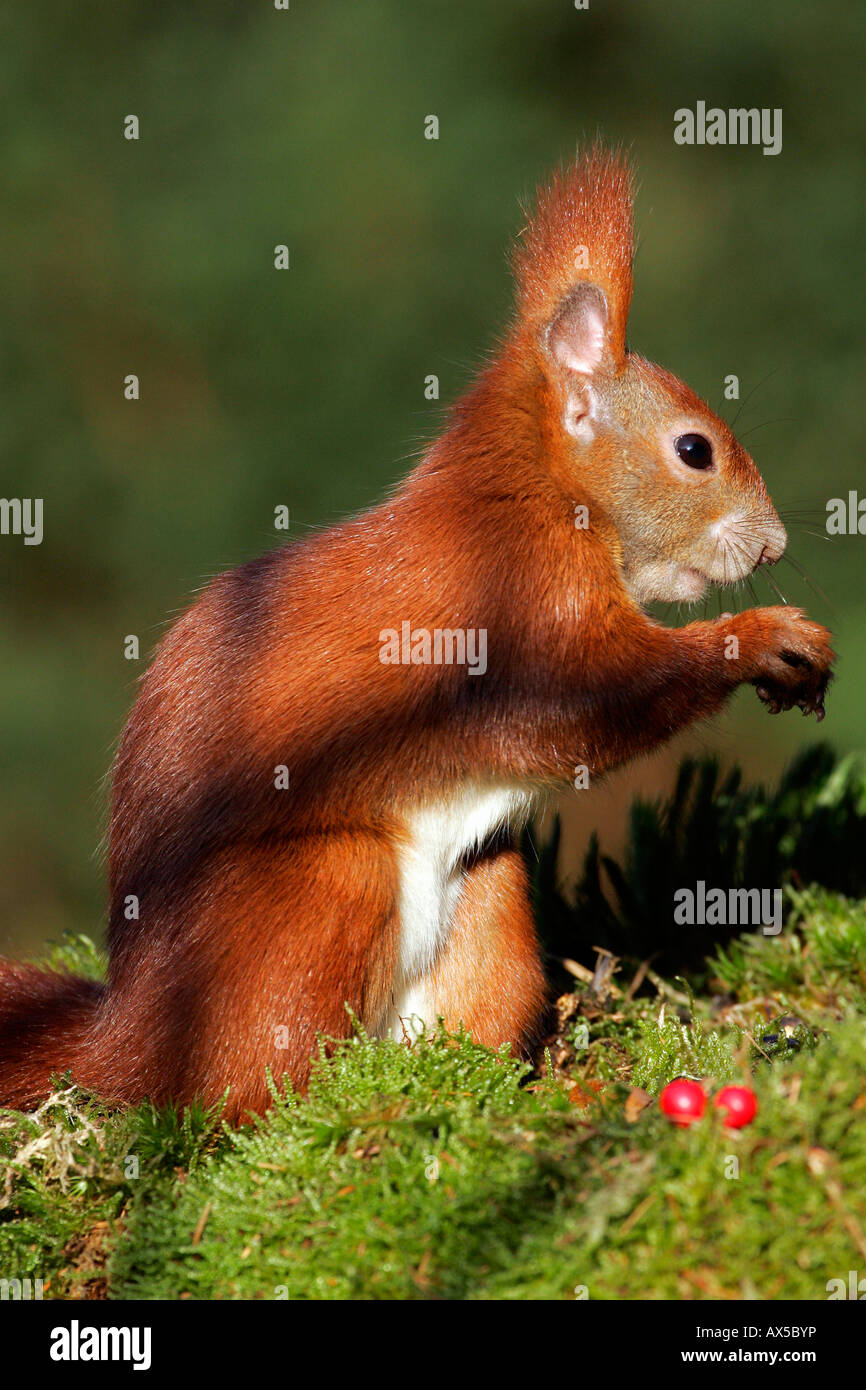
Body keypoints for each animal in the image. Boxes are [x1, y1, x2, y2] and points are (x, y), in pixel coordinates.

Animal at [0, 148, 834, 1123]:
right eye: (694, 450)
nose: (773, 543)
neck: (546, 499)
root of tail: (127, 1045)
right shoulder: (513, 611)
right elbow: (589, 705)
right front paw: (763, 635)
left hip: (488, 899)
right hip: (326, 889)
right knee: (241, 1093)